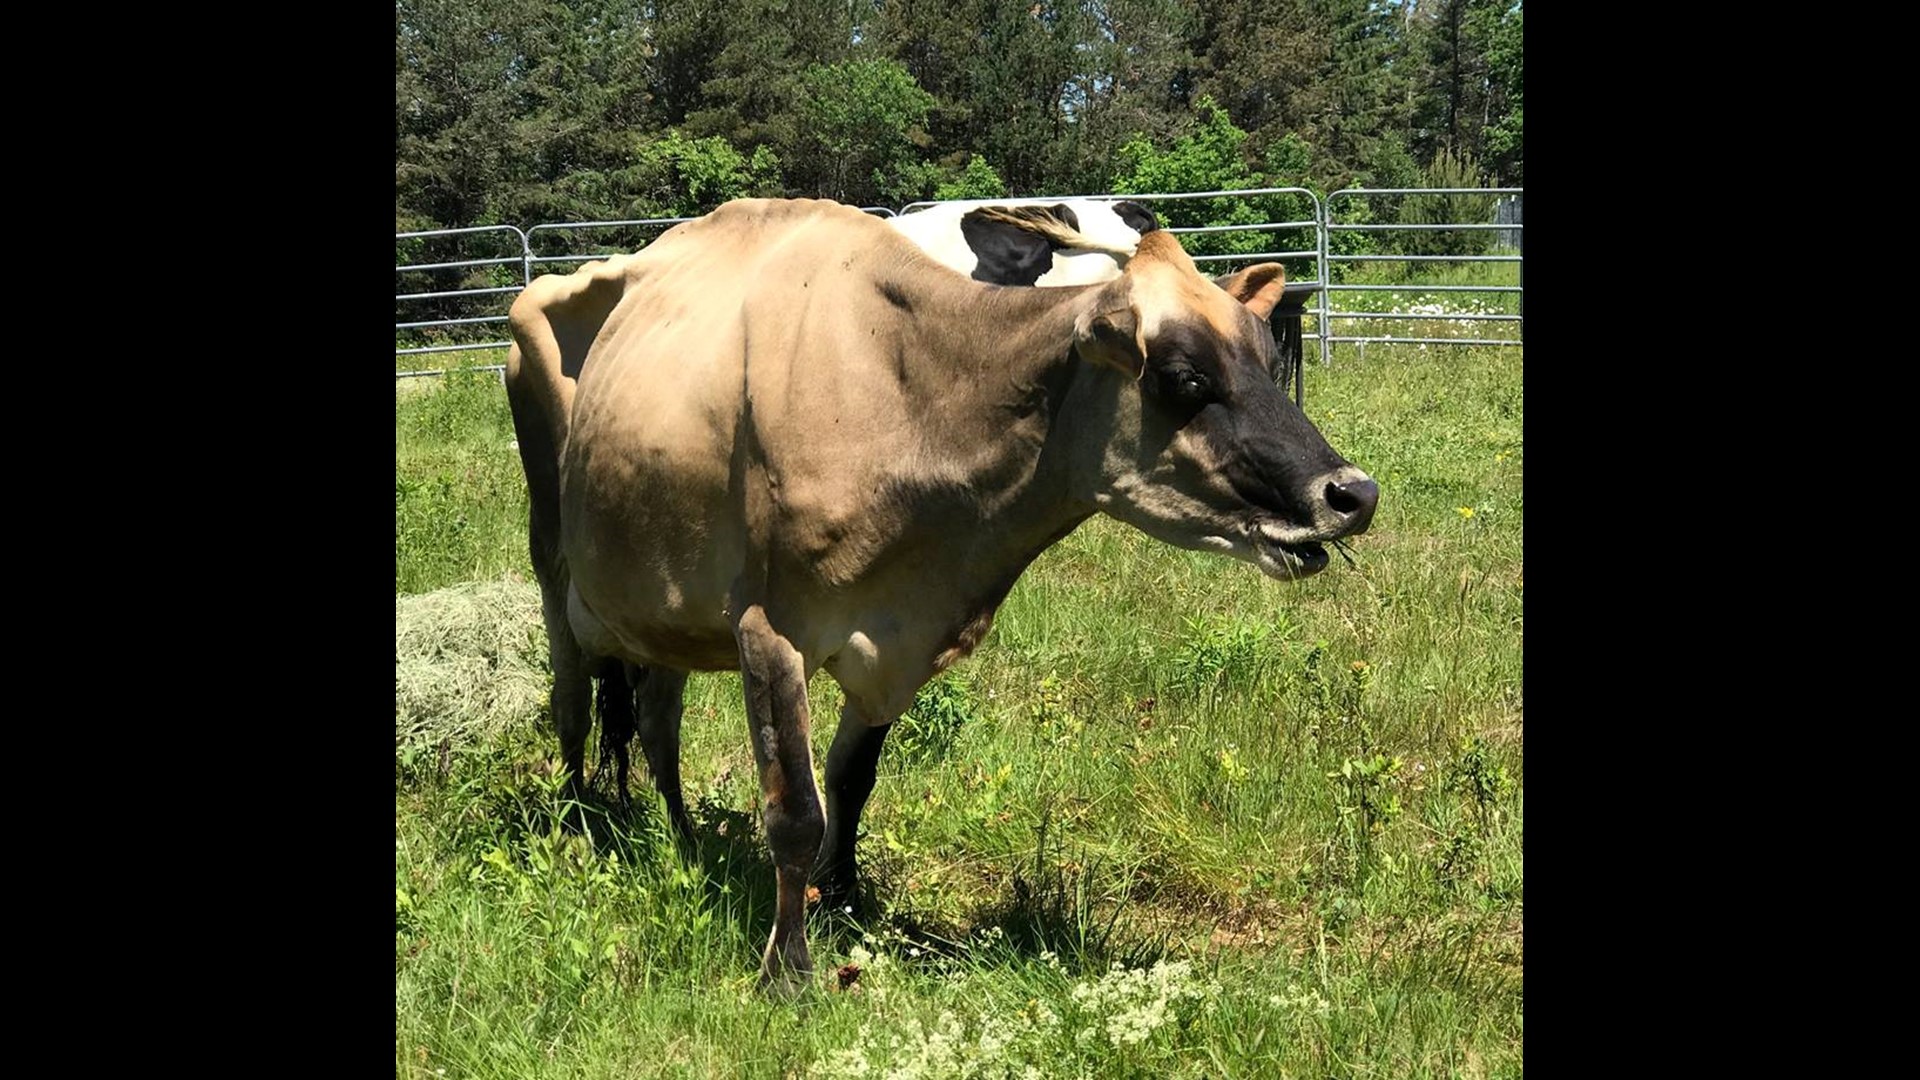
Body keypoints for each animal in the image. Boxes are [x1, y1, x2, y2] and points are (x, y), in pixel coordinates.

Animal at [504, 198, 1378, 995]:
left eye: (1268, 361)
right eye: (1185, 377)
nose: (1352, 493)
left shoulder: (897, 643)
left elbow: (851, 785)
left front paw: (841, 901)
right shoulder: (771, 630)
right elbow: (796, 810)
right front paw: (787, 970)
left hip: (663, 602)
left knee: (656, 720)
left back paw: (683, 837)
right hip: (552, 562)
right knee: (573, 703)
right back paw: (580, 824)